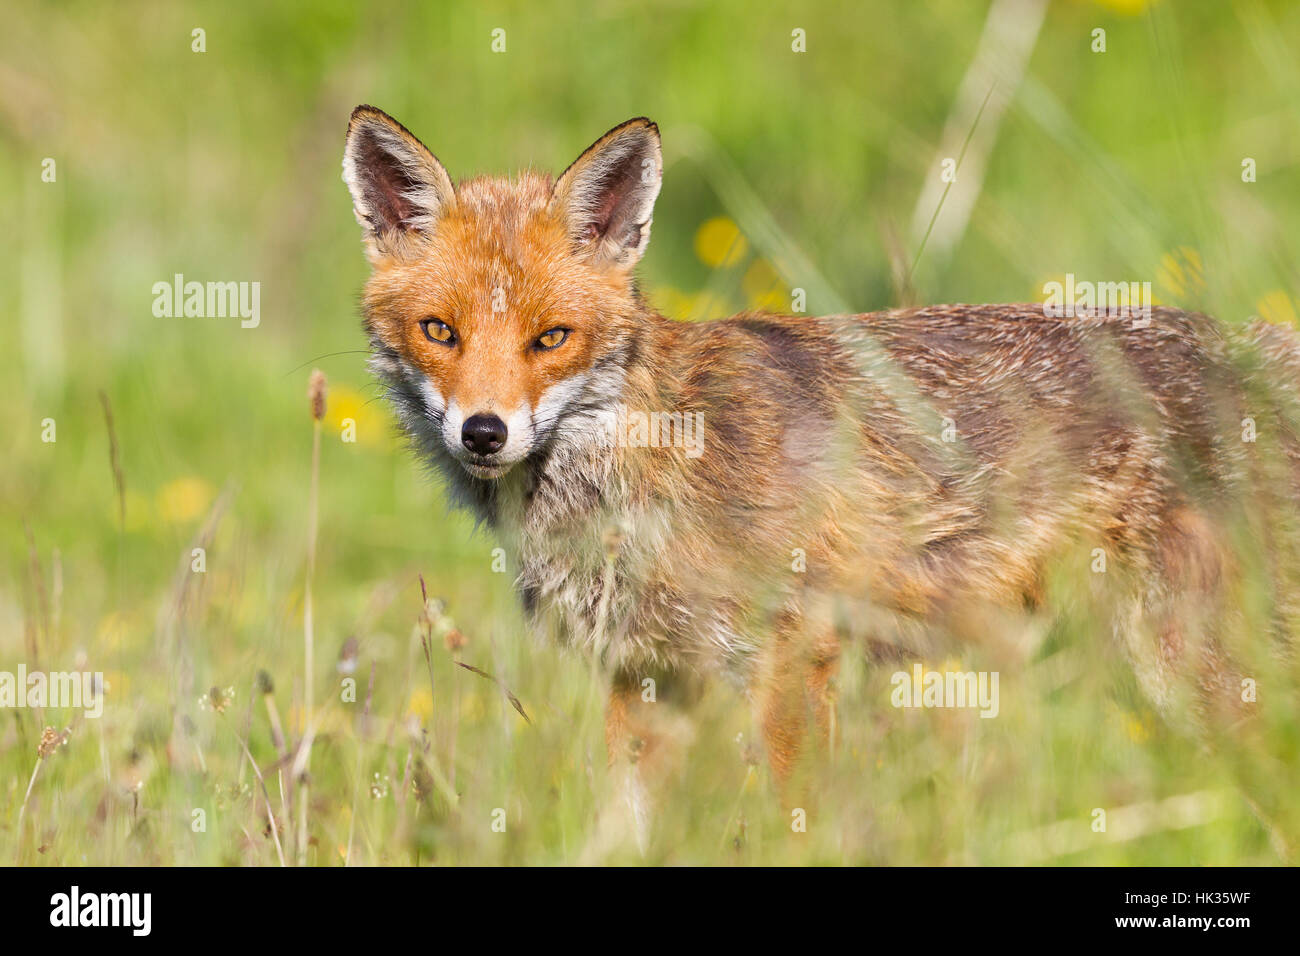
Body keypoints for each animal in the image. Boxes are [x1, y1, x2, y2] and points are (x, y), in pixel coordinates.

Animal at [341, 106, 1300, 796]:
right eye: (440, 331)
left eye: (551, 339)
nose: (485, 432)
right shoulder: (644, 678)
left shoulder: (796, 656)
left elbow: (793, 818)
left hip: (1194, 671)